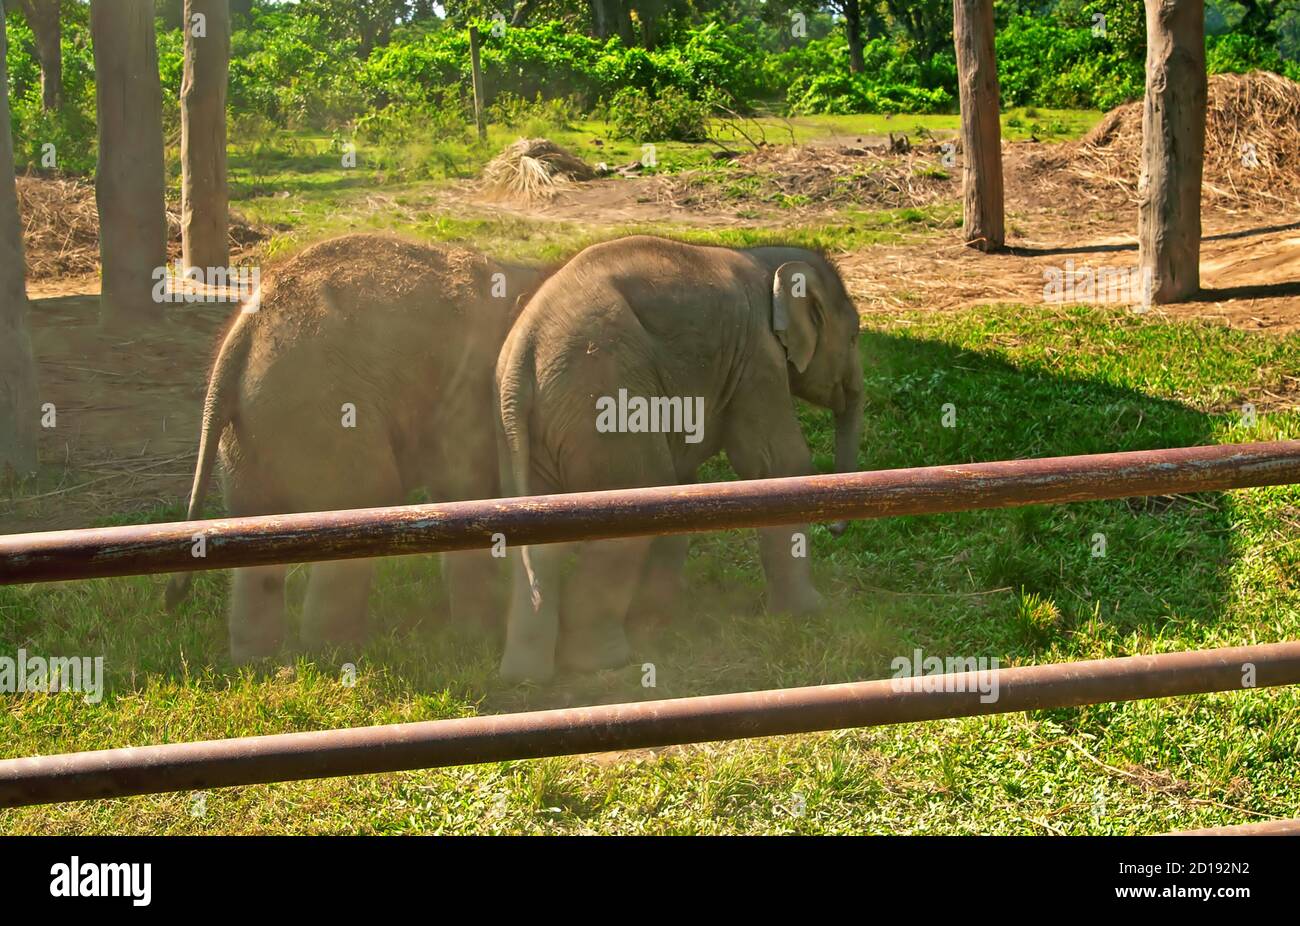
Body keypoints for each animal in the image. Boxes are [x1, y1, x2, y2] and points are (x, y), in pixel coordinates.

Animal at [166, 233, 542, 662]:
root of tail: (241, 336)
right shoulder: (469, 389)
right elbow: (464, 491)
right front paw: (478, 641)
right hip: (322, 408)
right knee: (365, 499)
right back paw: (336, 654)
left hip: (247, 433)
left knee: (254, 526)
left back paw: (261, 663)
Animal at [495, 234, 864, 682]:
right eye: (854, 336)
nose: (837, 530)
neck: (763, 259)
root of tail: (523, 357)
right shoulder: (757, 356)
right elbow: (777, 463)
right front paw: (809, 613)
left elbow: (684, 484)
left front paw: (660, 615)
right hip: (605, 409)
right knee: (634, 502)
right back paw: (604, 662)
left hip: (527, 434)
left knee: (536, 540)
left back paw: (526, 676)